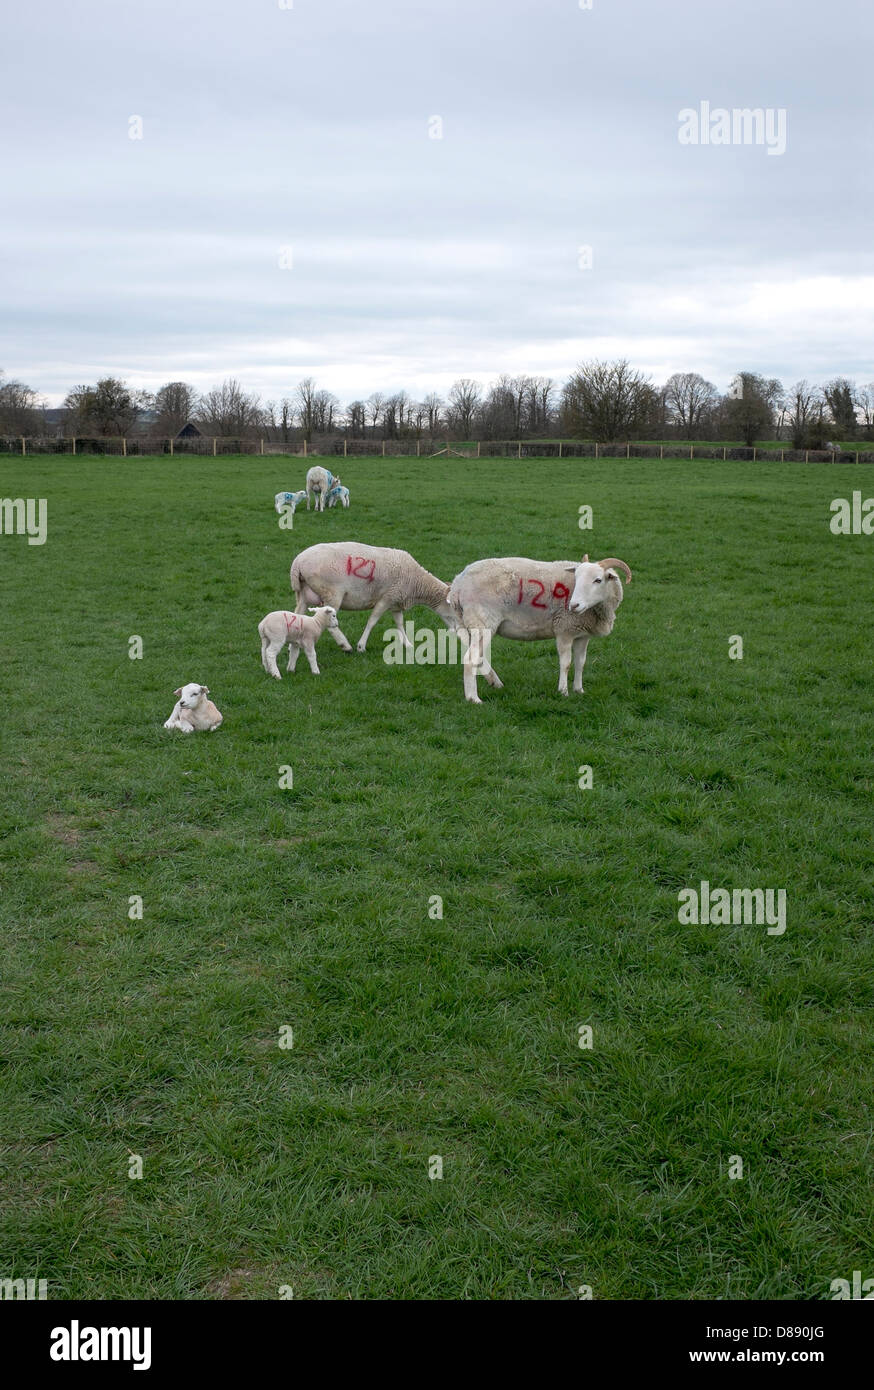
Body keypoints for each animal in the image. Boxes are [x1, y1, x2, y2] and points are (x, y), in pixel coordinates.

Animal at [290, 541, 456, 654]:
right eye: (453, 613)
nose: (456, 632)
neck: (416, 582)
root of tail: (298, 562)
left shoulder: (396, 601)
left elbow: (400, 623)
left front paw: (407, 644)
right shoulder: (387, 597)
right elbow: (372, 621)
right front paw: (361, 646)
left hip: (304, 594)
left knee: (297, 615)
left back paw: (292, 646)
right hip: (332, 593)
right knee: (330, 624)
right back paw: (346, 646)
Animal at [447, 554, 632, 703]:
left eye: (598, 580)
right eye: (576, 578)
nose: (573, 605)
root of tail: (457, 584)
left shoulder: (582, 634)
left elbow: (580, 662)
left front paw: (579, 690)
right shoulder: (564, 628)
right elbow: (566, 663)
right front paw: (563, 691)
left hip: (468, 622)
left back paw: (494, 684)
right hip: (482, 621)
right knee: (470, 659)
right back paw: (474, 699)